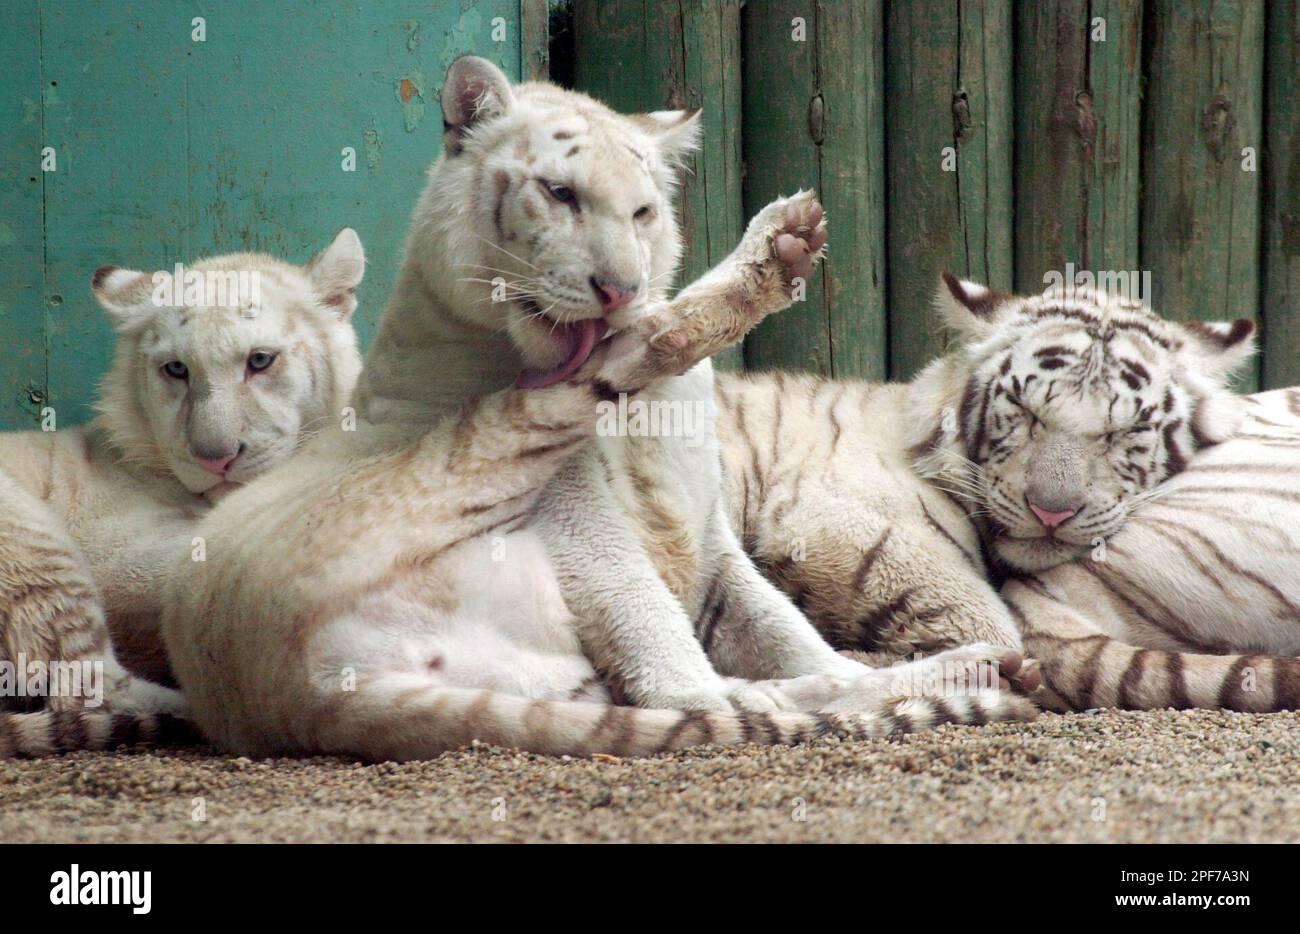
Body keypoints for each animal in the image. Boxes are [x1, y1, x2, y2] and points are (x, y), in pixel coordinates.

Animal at [0, 230, 365, 756]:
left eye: (259, 360)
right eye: (176, 369)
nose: (215, 456)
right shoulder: (117, 555)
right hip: (35, 545)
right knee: (90, 692)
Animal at [155, 56, 1037, 763]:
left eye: (643, 212)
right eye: (560, 194)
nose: (619, 288)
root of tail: (301, 692)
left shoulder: (706, 526)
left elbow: (782, 628)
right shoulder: (575, 514)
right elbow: (647, 615)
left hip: (556, 682)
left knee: (778, 696)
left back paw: (975, 666)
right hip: (475, 455)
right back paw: (768, 258)